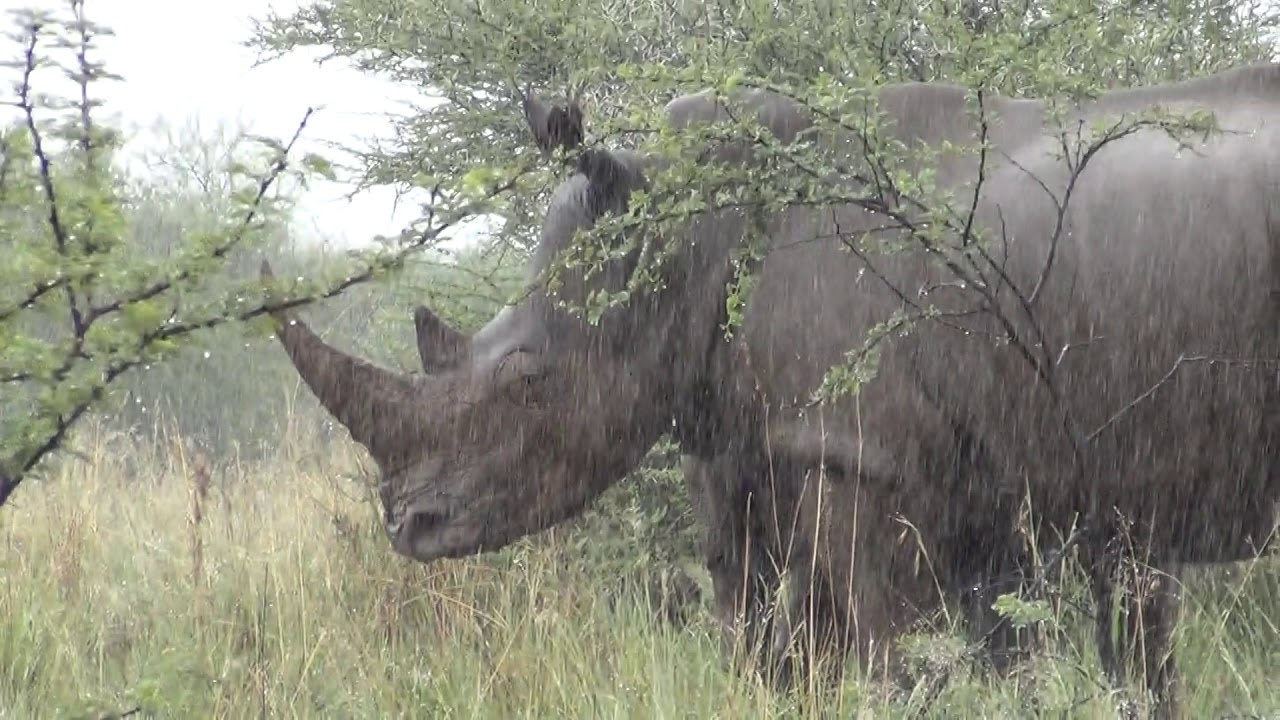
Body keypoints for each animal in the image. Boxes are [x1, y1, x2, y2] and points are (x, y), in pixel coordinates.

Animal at [265, 63, 1280, 714]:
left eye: (528, 383)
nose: (408, 526)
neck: (690, 230)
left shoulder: (864, 453)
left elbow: (893, 656)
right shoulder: (776, 438)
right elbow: (777, 646)